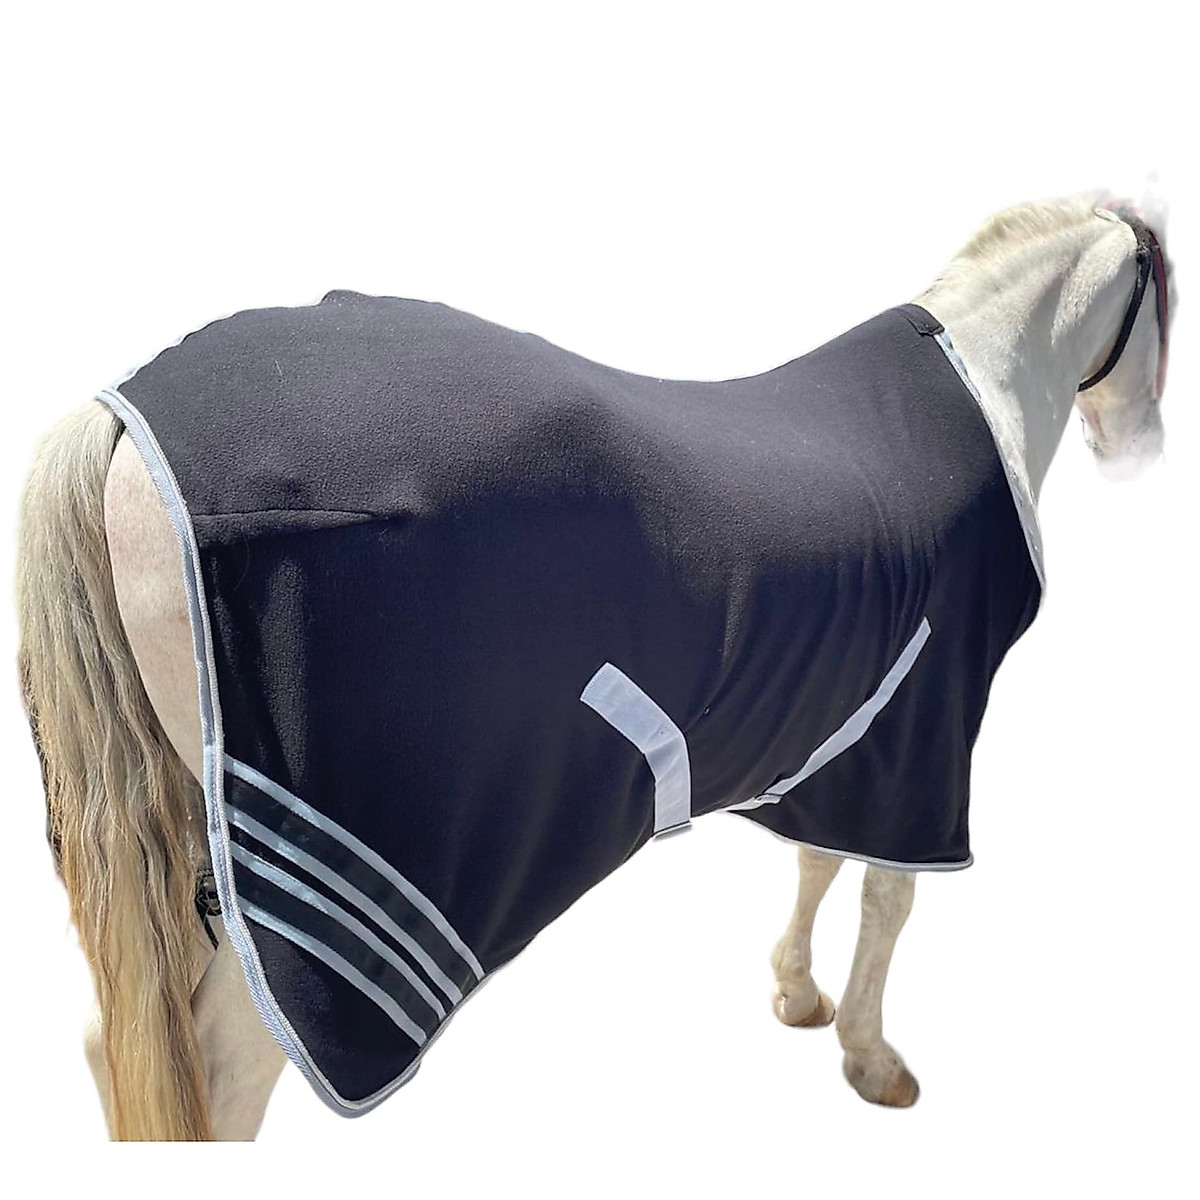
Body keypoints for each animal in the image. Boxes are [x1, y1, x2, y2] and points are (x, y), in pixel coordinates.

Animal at [15, 193, 1173, 1140]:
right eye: (1162, 307)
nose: (1141, 444)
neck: (978, 378)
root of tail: (118, 423)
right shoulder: (928, 733)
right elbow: (887, 898)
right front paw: (872, 1058)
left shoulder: (844, 731)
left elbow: (817, 861)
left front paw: (799, 999)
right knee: (222, 1073)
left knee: (130, 1050)